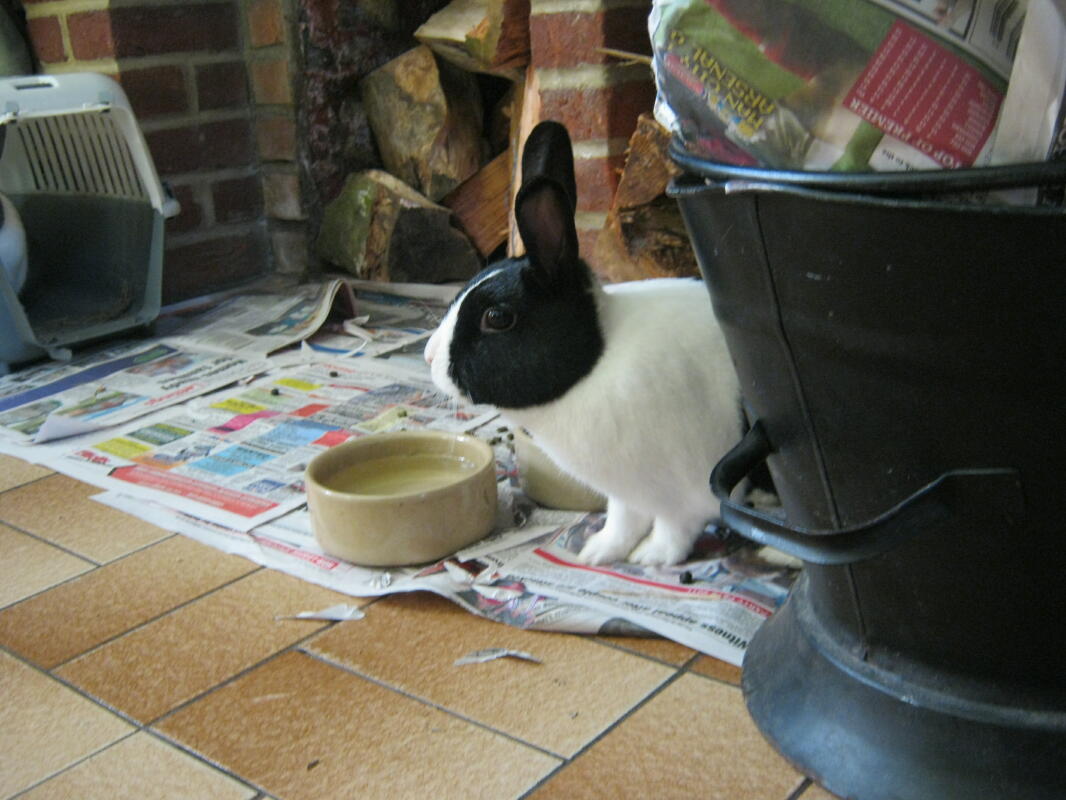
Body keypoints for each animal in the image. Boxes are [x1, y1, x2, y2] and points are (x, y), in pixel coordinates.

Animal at [424, 120, 748, 566]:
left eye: (497, 318)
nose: (428, 357)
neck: (591, 368)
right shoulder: (629, 493)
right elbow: (623, 519)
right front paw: (597, 552)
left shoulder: (687, 489)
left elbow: (674, 527)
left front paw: (650, 558)